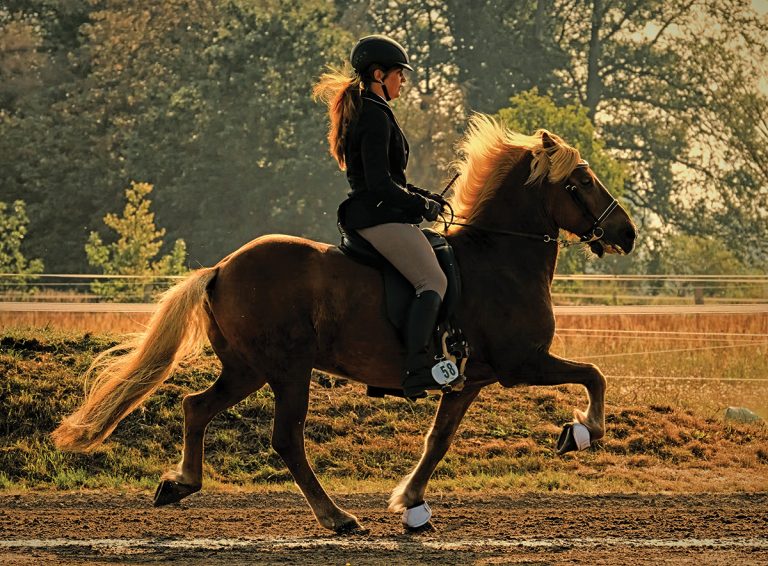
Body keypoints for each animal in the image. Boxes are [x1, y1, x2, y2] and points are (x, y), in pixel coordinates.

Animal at [52, 114, 637, 533]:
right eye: (583, 181)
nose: (626, 234)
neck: (500, 257)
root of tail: (220, 268)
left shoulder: (471, 379)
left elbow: (438, 439)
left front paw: (411, 503)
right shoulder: (522, 364)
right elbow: (595, 375)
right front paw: (582, 432)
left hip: (246, 369)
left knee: (196, 407)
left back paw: (179, 485)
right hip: (287, 370)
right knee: (286, 439)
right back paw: (336, 518)